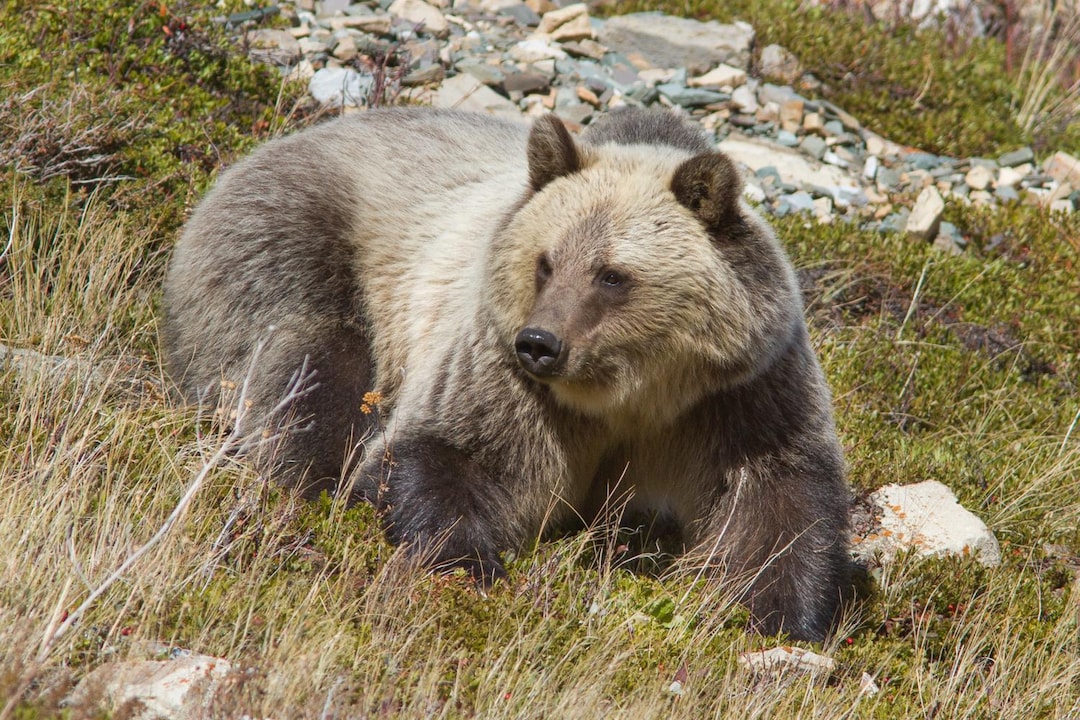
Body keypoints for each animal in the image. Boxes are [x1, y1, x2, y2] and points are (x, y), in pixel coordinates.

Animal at [163, 107, 850, 641]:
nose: (540, 344)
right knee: (309, 368)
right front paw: (470, 561)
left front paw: (777, 614)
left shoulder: (737, 397)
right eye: (546, 261)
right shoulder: (503, 375)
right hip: (303, 242)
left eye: (611, 274)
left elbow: (776, 500)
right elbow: (453, 453)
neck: (631, 397)